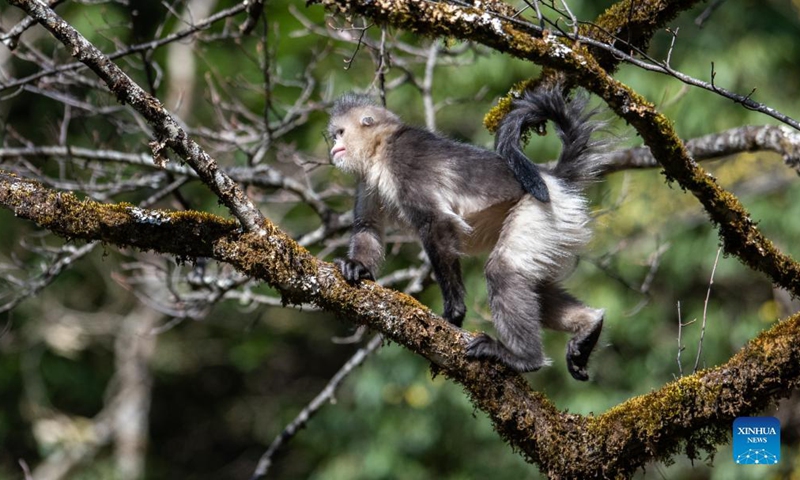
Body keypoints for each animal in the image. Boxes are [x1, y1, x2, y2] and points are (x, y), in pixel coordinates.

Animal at [327, 87, 607, 380]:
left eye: (340, 133)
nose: (333, 147)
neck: (381, 147)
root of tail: (554, 179)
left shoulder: (402, 161)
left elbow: (436, 222)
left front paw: (454, 314)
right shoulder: (366, 180)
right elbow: (368, 226)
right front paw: (358, 267)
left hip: (541, 210)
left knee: (502, 269)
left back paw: (524, 358)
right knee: (533, 282)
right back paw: (589, 325)